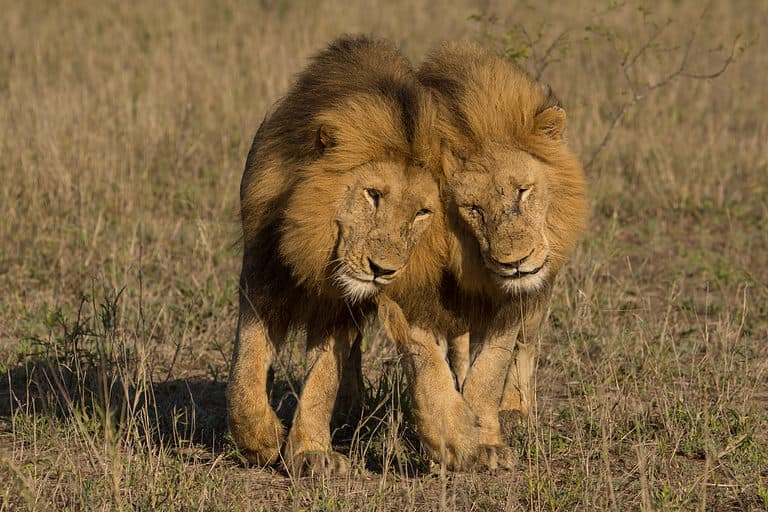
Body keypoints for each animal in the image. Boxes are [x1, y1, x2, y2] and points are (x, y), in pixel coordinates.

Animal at [226, 35, 443, 477]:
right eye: (373, 195)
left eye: (422, 213)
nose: (383, 270)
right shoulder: (263, 277)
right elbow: (246, 367)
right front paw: (262, 439)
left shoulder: (342, 307)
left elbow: (323, 376)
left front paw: (311, 453)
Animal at [380, 42, 587, 470]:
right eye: (472, 208)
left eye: (524, 190)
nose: (514, 262)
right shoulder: (409, 290)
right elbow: (427, 362)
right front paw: (448, 437)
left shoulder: (512, 303)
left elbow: (492, 368)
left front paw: (489, 442)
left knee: (524, 347)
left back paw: (516, 412)